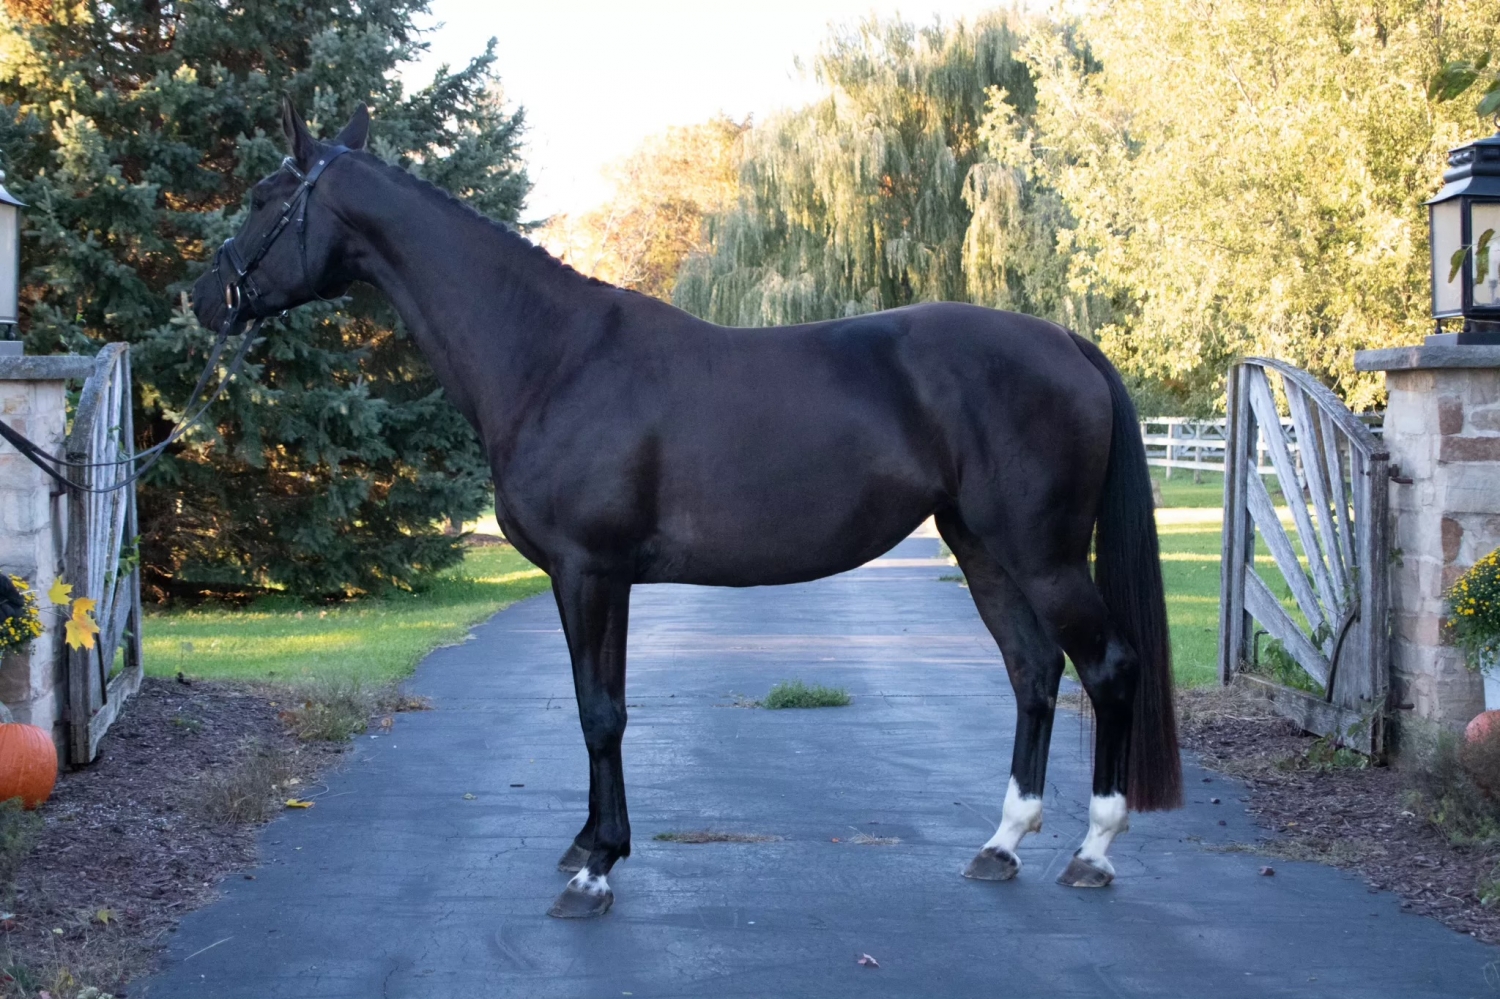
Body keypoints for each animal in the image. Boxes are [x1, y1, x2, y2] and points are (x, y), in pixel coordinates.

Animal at [191, 101, 1182, 919]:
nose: (205, 297)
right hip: (980, 546)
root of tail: (1066, 341)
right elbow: (602, 701)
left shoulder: (591, 570)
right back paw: (1001, 843)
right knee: (1032, 670)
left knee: (1107, 667)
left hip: (1045, 553)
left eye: (265, 197)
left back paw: (1094, 851)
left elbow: (601, 712)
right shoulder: (598, 578)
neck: (552, 357)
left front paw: (597, 872)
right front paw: (589, 844)